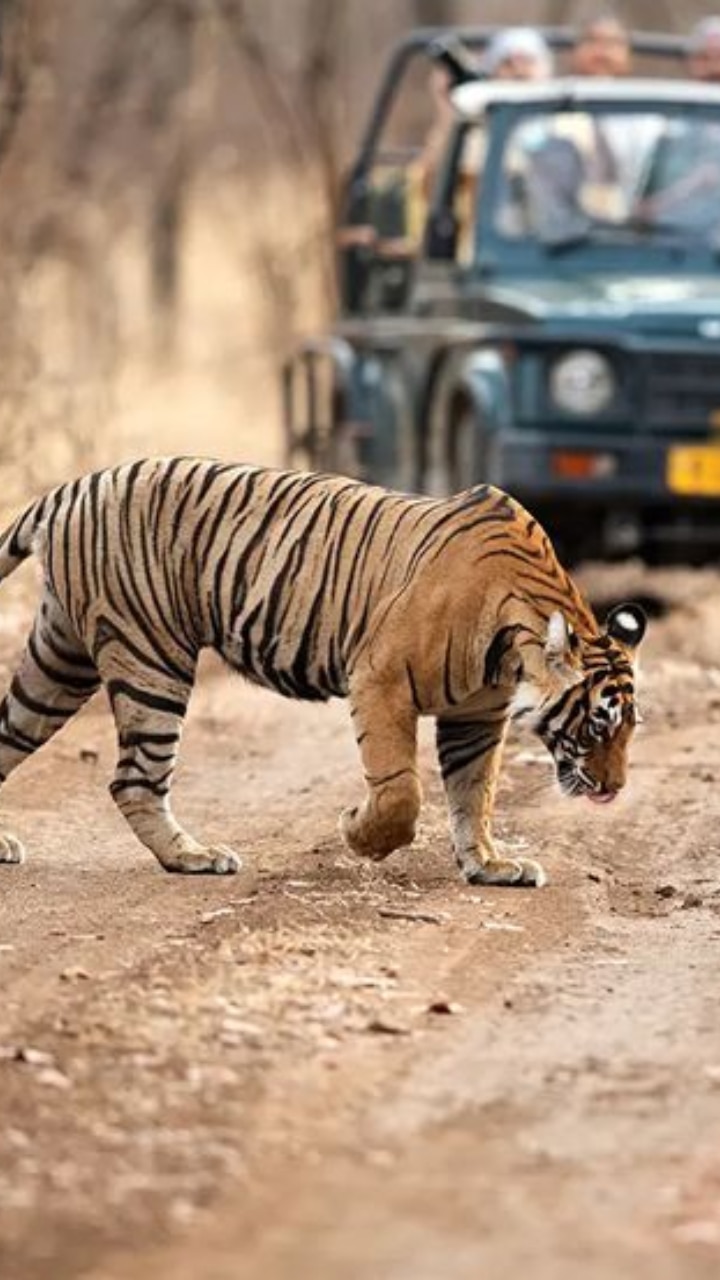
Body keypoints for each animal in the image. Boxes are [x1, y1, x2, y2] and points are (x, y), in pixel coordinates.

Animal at [0, 458, 646, 888]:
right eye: (598, 724)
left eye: (630, 730)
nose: (615, 789)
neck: (512, 645)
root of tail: (74, 486)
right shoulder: (382, 680)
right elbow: (402, 791)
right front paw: (357, 833)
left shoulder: (478, 716)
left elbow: (474, 792)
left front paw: (488, 863)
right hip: (149, 656)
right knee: (133, 779)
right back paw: (193, 857)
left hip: (60, 661)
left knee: (10, 733)